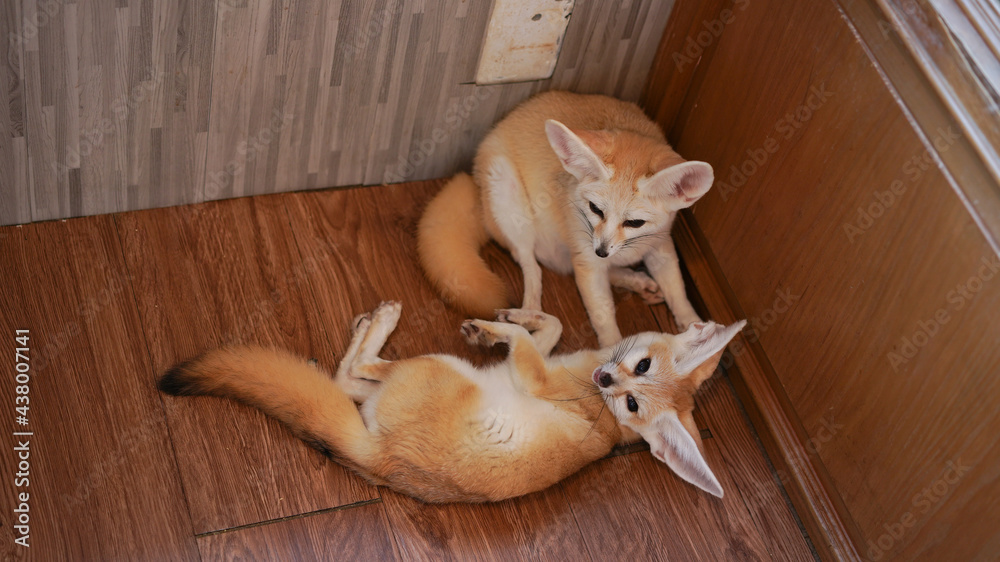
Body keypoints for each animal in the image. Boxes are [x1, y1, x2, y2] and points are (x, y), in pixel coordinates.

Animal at [158, 301, 746, 502]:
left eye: (631, 406)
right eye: (640, 371)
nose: (606, 379)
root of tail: (382, 464)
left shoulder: (535, 377)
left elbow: (525, 342)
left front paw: (494, 325)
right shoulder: (547, 359)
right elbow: (550, 325)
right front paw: (510, 317)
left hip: (438, 366)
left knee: (351, 374)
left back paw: (379, 323)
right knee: (348, 383)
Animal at [418, 91, 715, 347]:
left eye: (634, 223)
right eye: (595, 209)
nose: (602, 251)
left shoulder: (660, 246)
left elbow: (678, 292)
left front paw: (695, 327)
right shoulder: (587, 258)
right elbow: (602, 313)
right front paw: (611, 352)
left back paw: (637, 281)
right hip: (510, 203)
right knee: (532, 268)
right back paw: (527, 316)